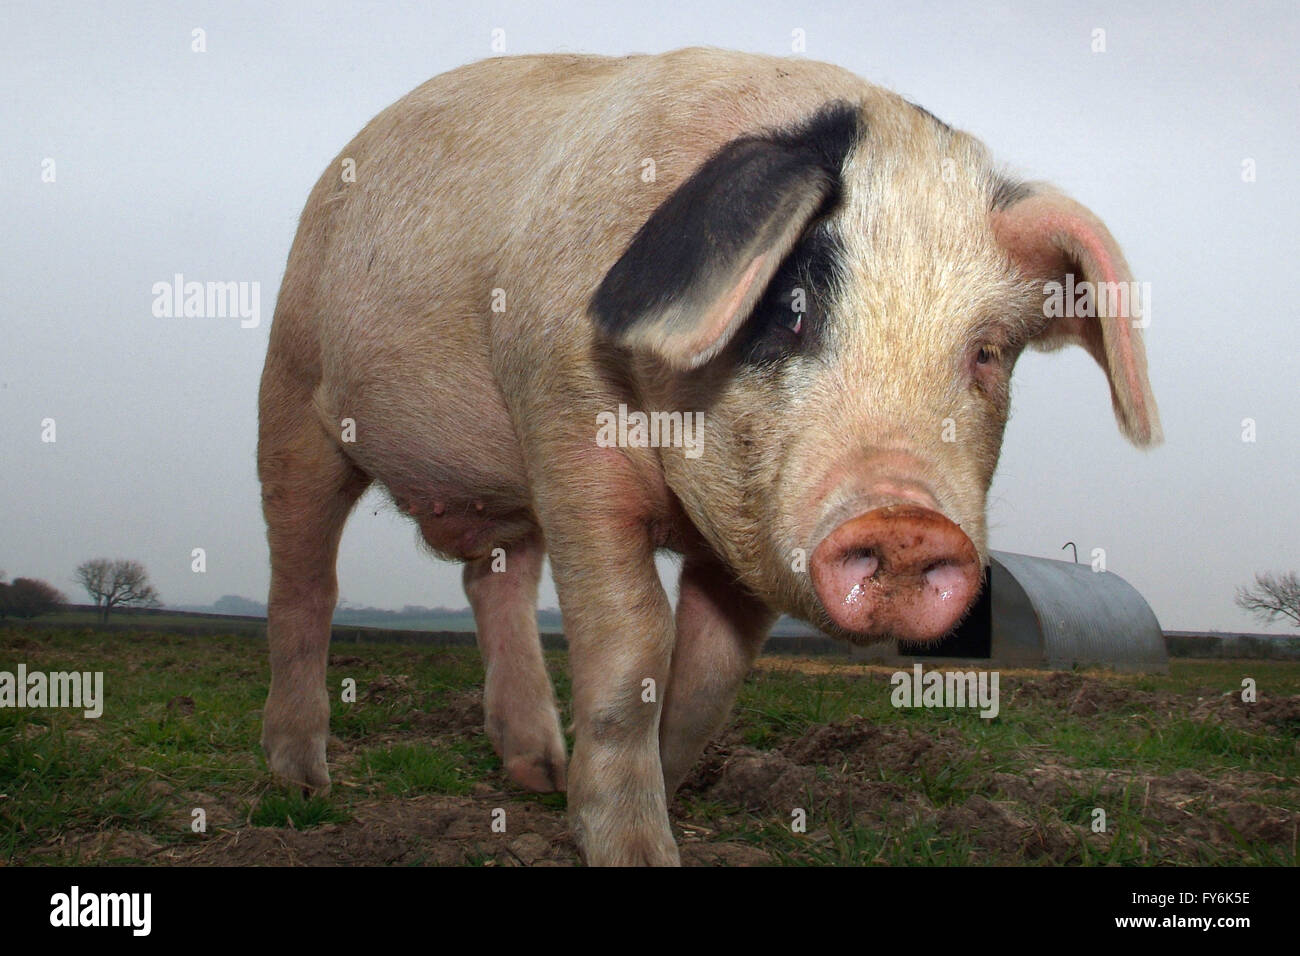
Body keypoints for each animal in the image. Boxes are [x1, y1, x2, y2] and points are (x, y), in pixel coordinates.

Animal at [257, 48, 1160, 866]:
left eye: (988, 352)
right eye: (790, 310)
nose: (906, 522)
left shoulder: (750, 536)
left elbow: (711, 675)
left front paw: (652, 791)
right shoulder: (567, 432)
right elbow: (636, 644)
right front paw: (635, 852)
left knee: (495, 581)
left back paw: (538, 772)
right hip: (292, 387)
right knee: (305, 579)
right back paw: (302, 784)